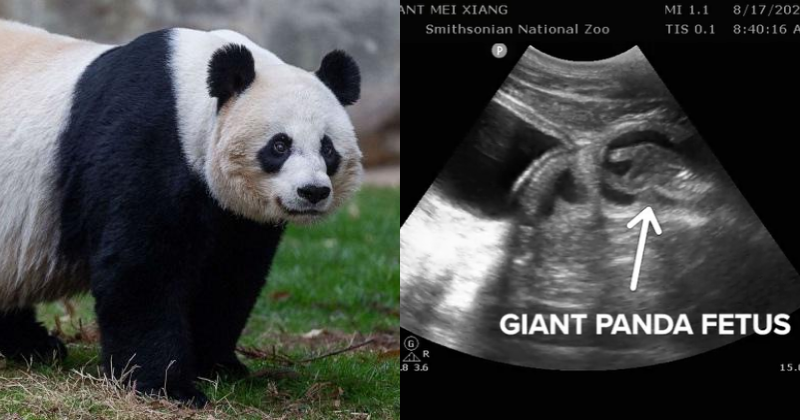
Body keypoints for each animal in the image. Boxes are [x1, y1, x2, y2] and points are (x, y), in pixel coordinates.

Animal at [0, 20, 363, 406]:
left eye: (327, 148)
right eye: (280, 145)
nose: (312, 192)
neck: (188, 98)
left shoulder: (234, 217)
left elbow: (229, 276)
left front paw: (218, 365)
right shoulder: (143, 143)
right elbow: (141, 268)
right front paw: (168, 386)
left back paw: (34, 344)